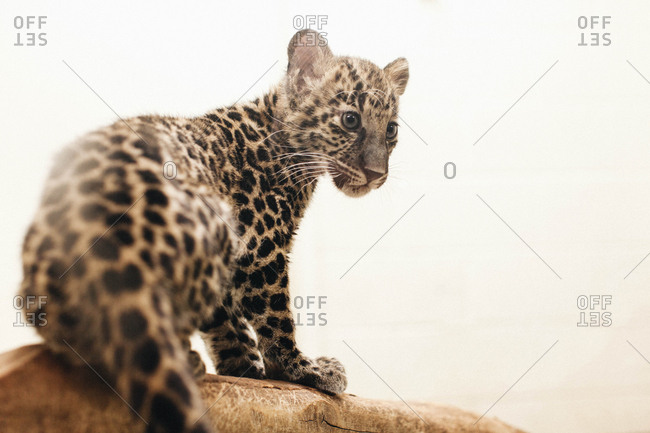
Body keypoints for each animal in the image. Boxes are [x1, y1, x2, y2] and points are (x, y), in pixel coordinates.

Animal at [19, 29, 409, 433]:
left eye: (391, 130)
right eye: (350, 120)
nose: (377, 174)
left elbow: (226, 317)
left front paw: (244, 366)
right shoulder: (262, 249)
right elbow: (276, 320)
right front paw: (304, 369)